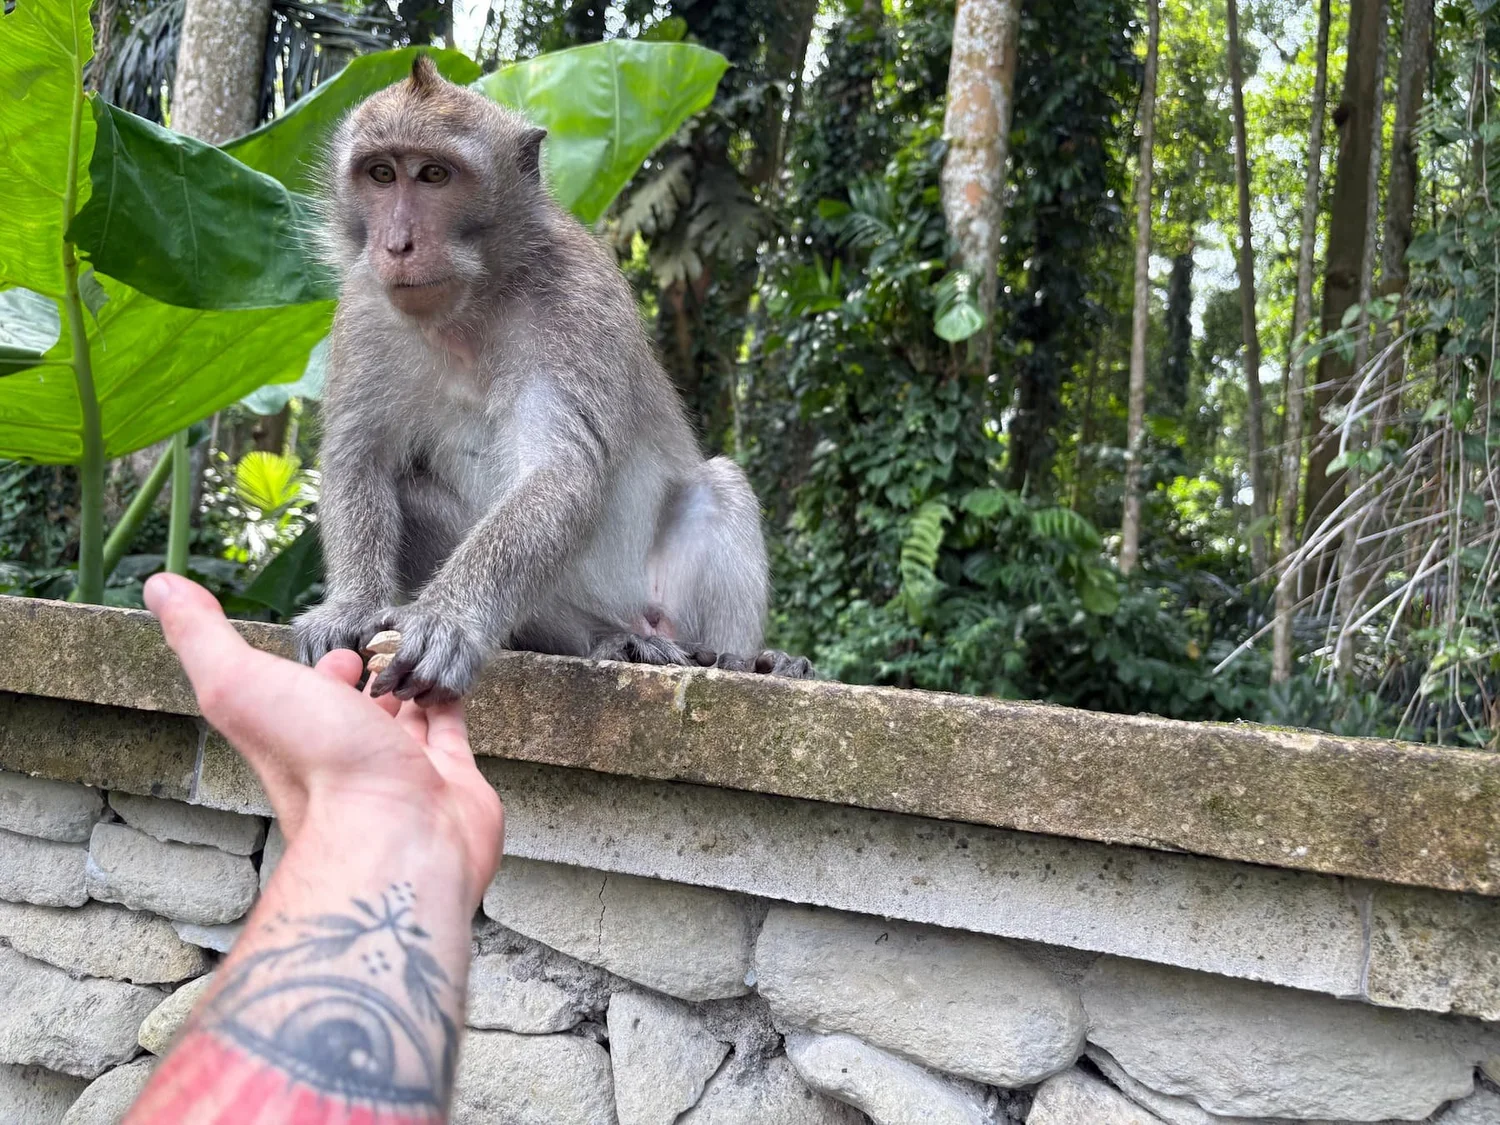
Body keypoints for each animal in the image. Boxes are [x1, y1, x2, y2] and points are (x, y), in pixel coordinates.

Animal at [291, 56, 812, 704]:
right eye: (381, 174)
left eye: (434, 174)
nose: (397, 244)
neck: (473, 305)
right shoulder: (365, 306)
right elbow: (362, 459)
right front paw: (352, 608)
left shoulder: (577, 302)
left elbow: (560, 471)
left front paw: (448, 621)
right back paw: (611, 642)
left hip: (670, 603)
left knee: (719, 485)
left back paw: (747, 660)